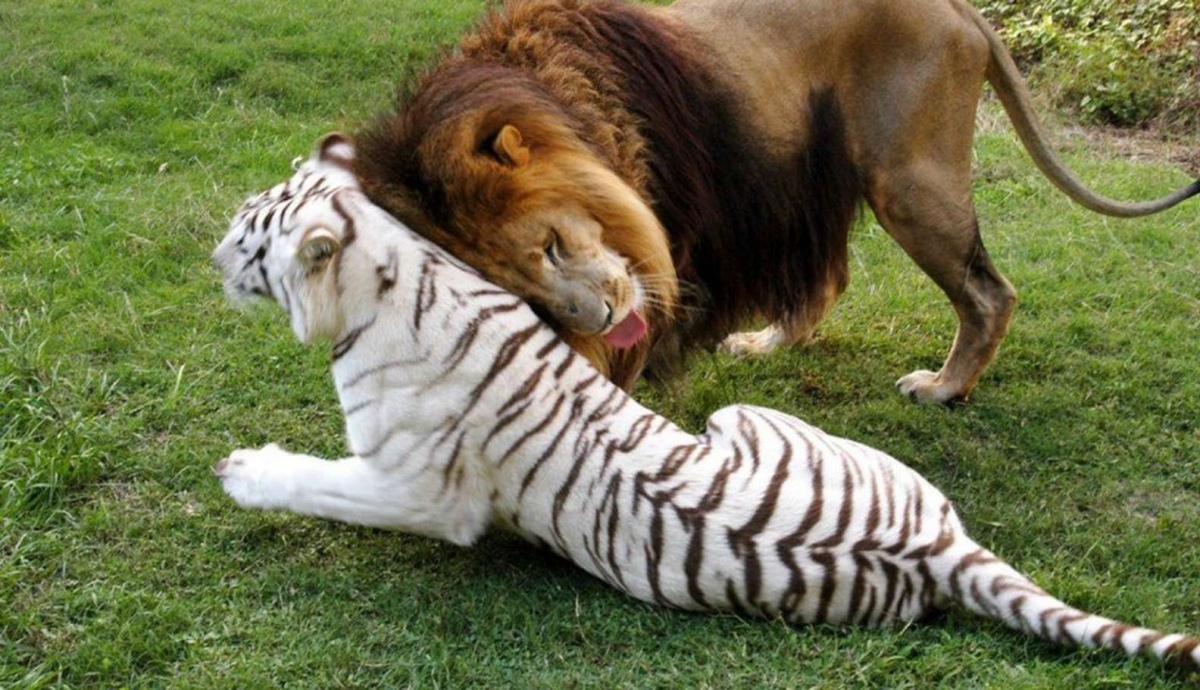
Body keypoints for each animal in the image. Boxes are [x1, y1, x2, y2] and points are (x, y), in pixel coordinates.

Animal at [211, 133, 1200, 671]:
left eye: (252, 238)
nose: (212, 257)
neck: (394, 269)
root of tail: (938, 545)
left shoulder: (417, 488)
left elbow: (319, 482)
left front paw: (241, 470)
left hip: (737, 421)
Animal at [354, 0, 1199, 402]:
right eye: (527, 298)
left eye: (555, 245)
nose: (598, 320)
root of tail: (961, 12)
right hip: (819, 173)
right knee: (827, 277)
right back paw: (766, 342)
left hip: (909, 178)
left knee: (990, 293)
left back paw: (945, 388)